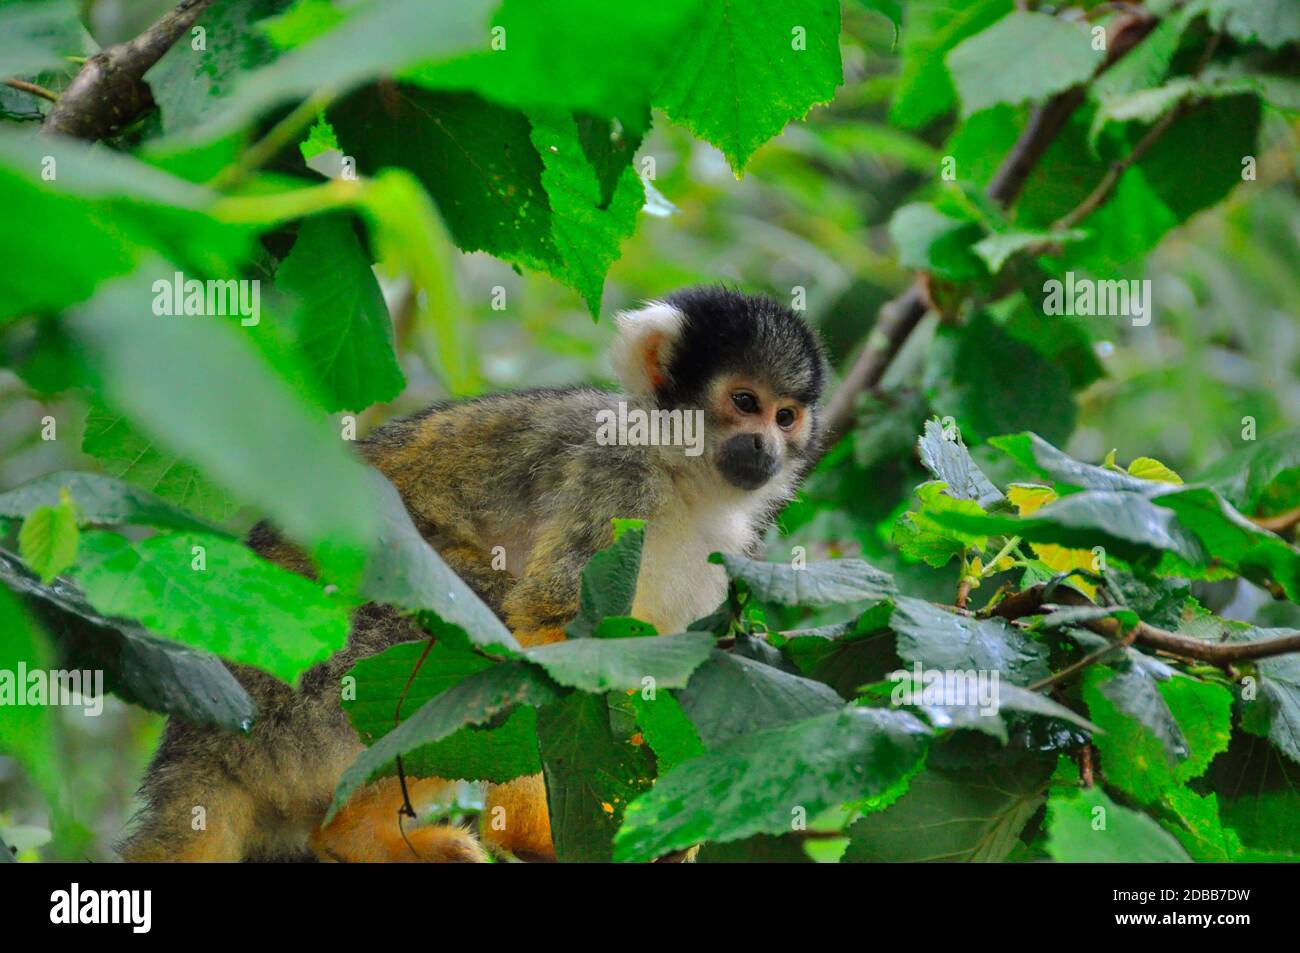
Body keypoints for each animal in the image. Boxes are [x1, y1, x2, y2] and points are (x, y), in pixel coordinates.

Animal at [117, 287, 828, 863]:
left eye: (785, 415)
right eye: (744, 402)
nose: (767, 447)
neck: (681, 473)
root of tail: (203, 742)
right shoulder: (614, 480)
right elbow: (546, 635)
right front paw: (541, 832)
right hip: (300, 699)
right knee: (471, 618)